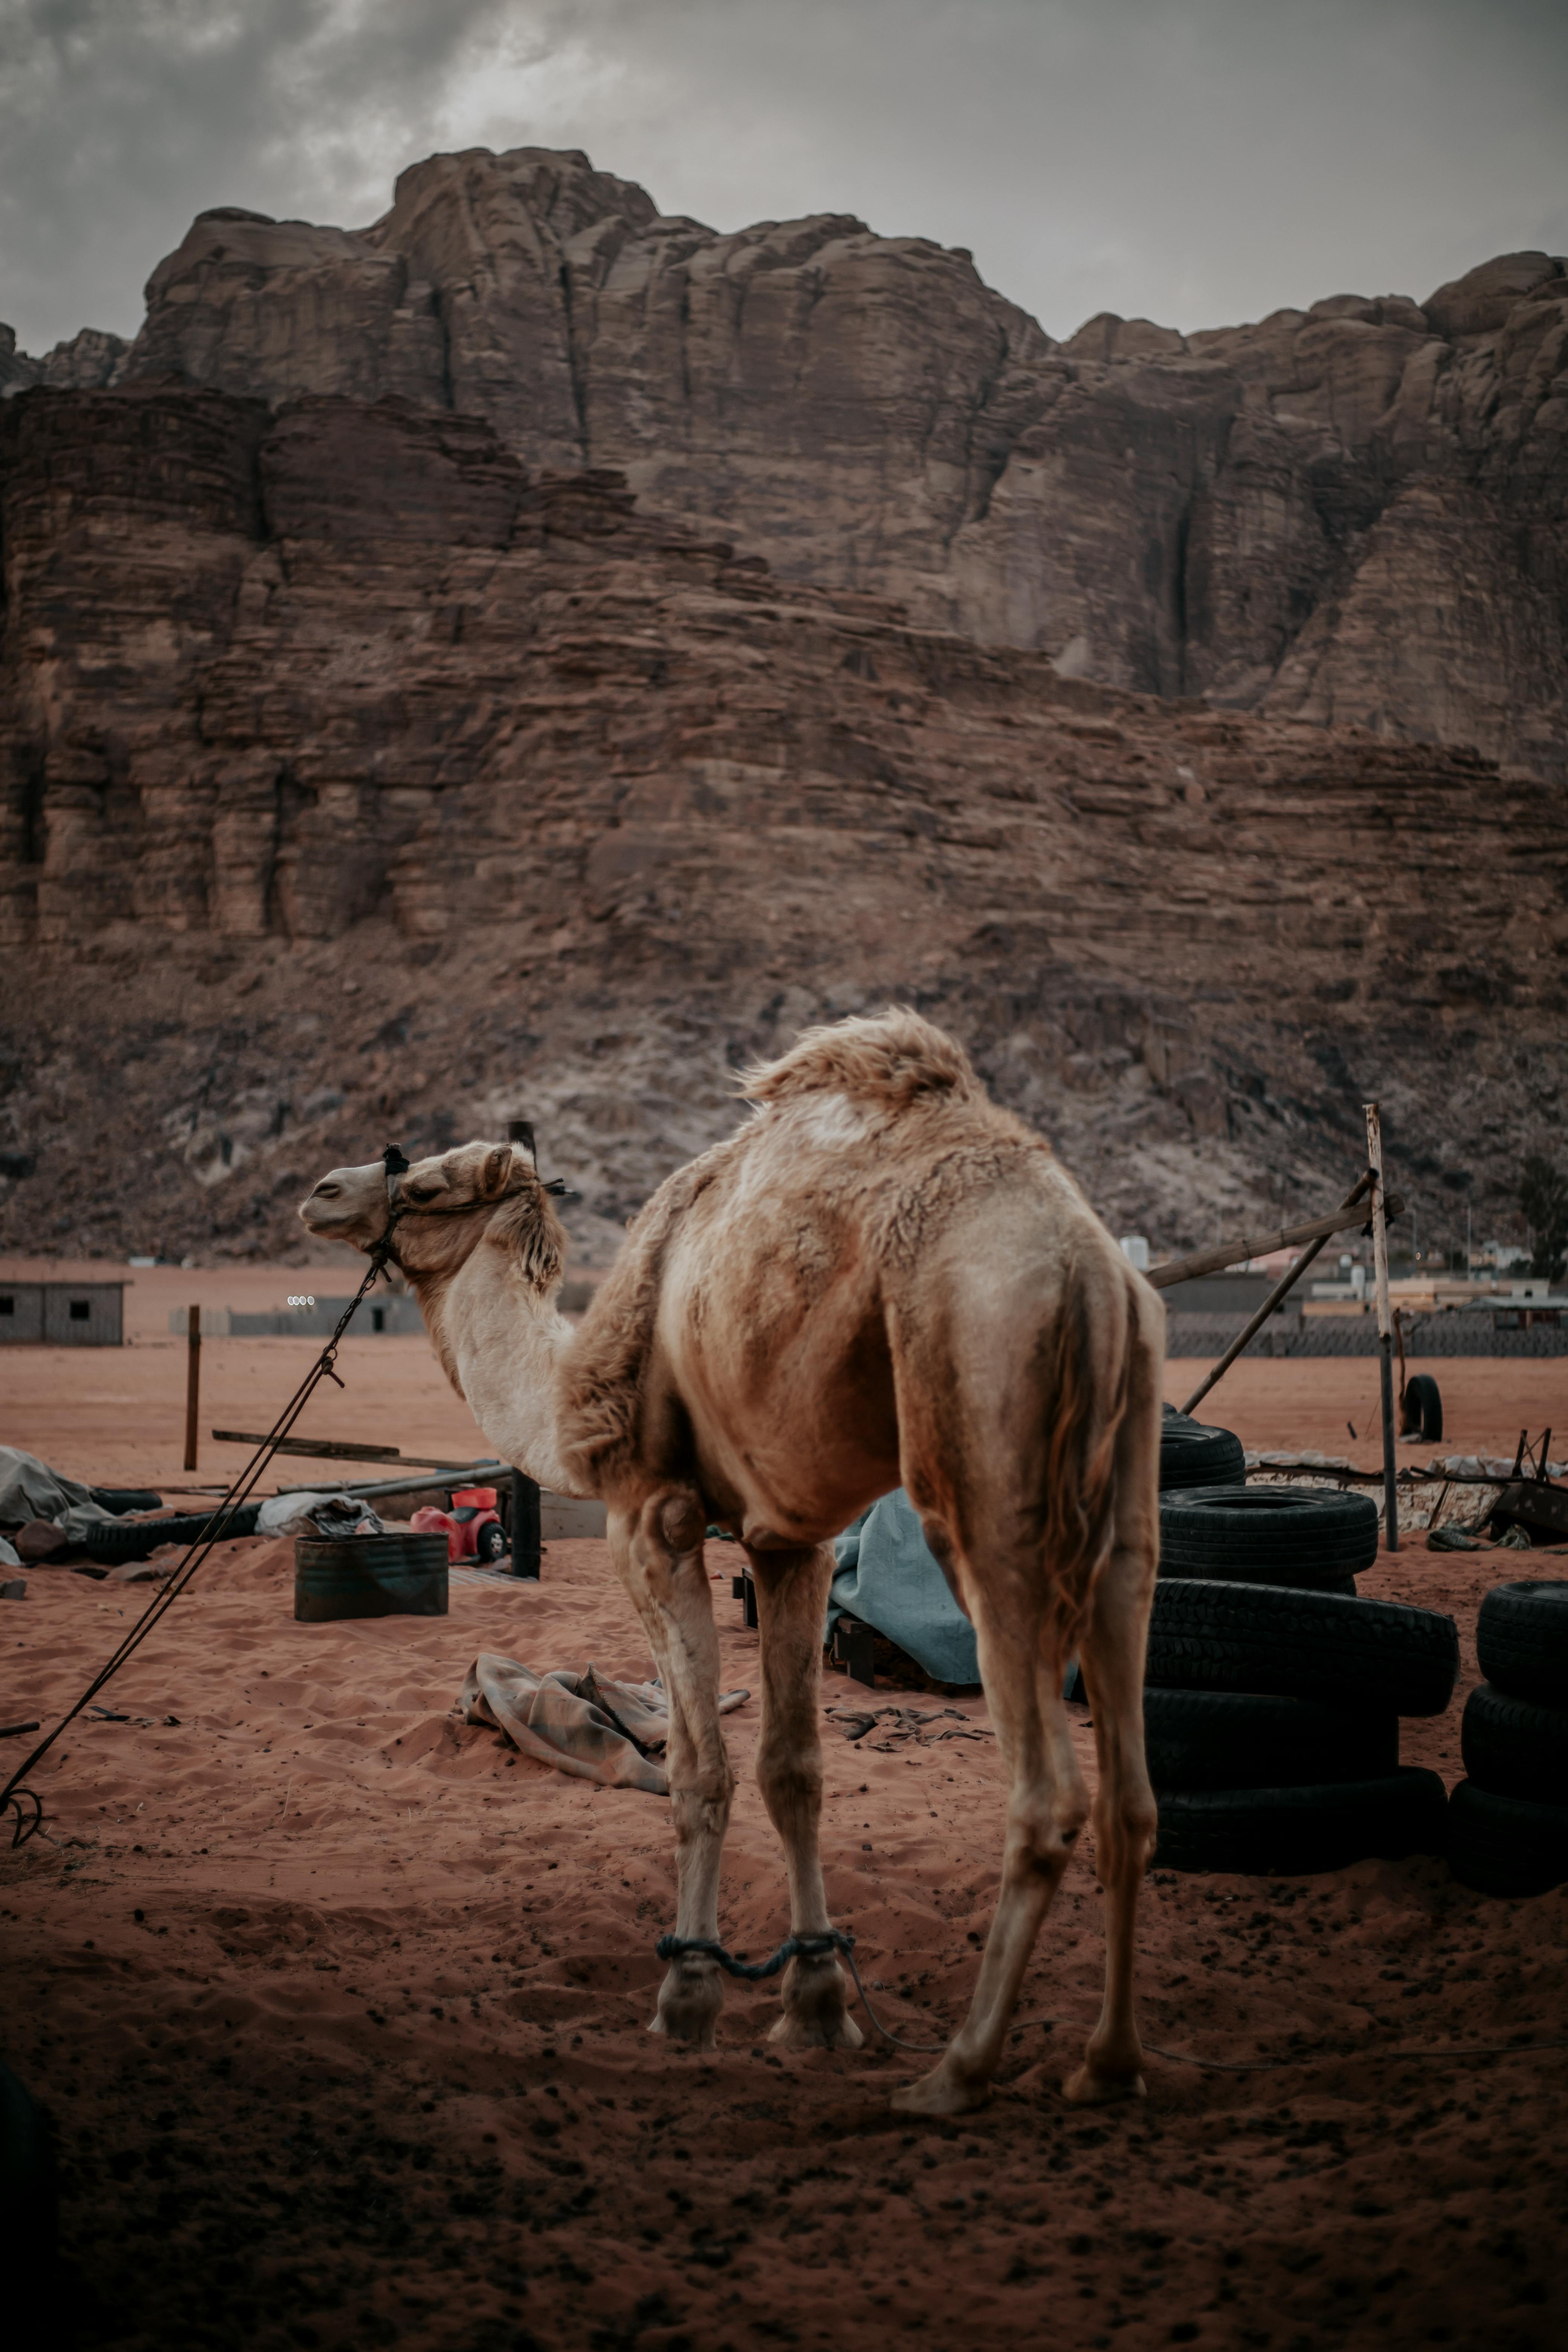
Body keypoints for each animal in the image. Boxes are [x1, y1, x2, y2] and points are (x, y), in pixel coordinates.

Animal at [299, 1009, 1163, 2115]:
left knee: (1047, 1787)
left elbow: (698, 1767)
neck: (571, 1383)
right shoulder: (788, 1540)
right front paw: (819, 2004)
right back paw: (1107, 2064)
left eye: (422, 1187)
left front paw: (688, 1997)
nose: (323, 1191)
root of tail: (1082, 1264)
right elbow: (794, 1768)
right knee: (1132, 1786)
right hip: (1124, 1484)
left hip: (983, 1429)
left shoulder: (652, 1519)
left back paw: (958, 2071)